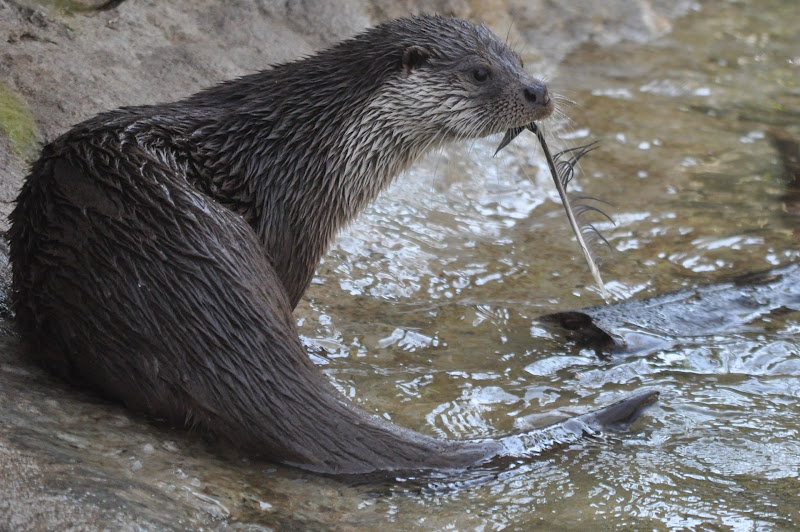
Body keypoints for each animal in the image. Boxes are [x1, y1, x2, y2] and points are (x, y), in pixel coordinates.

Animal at [8, 15, 655, 477]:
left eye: (518, 60)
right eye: (479, 72)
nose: (538, 90)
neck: (309, 145)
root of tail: (182, 289)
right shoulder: (298, 221)